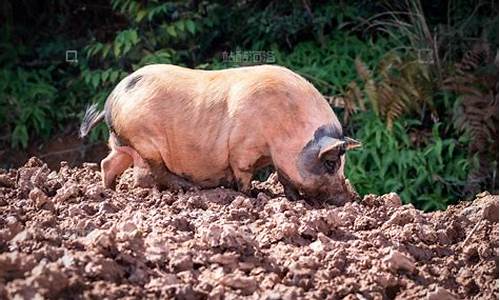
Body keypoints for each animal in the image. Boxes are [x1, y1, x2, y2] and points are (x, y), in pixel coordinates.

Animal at [79, 64, 360, 202]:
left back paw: (109, 191)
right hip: (145, 140)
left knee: (108, 163)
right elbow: (245, 175)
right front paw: (252, 195)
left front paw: (293, 200)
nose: (349, 199)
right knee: (155, 171)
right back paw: (187, 188)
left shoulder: (277, 158)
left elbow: (285, 178)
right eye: (331, 162)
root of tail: (112, 102)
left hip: (124, 143)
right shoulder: (243, 149)